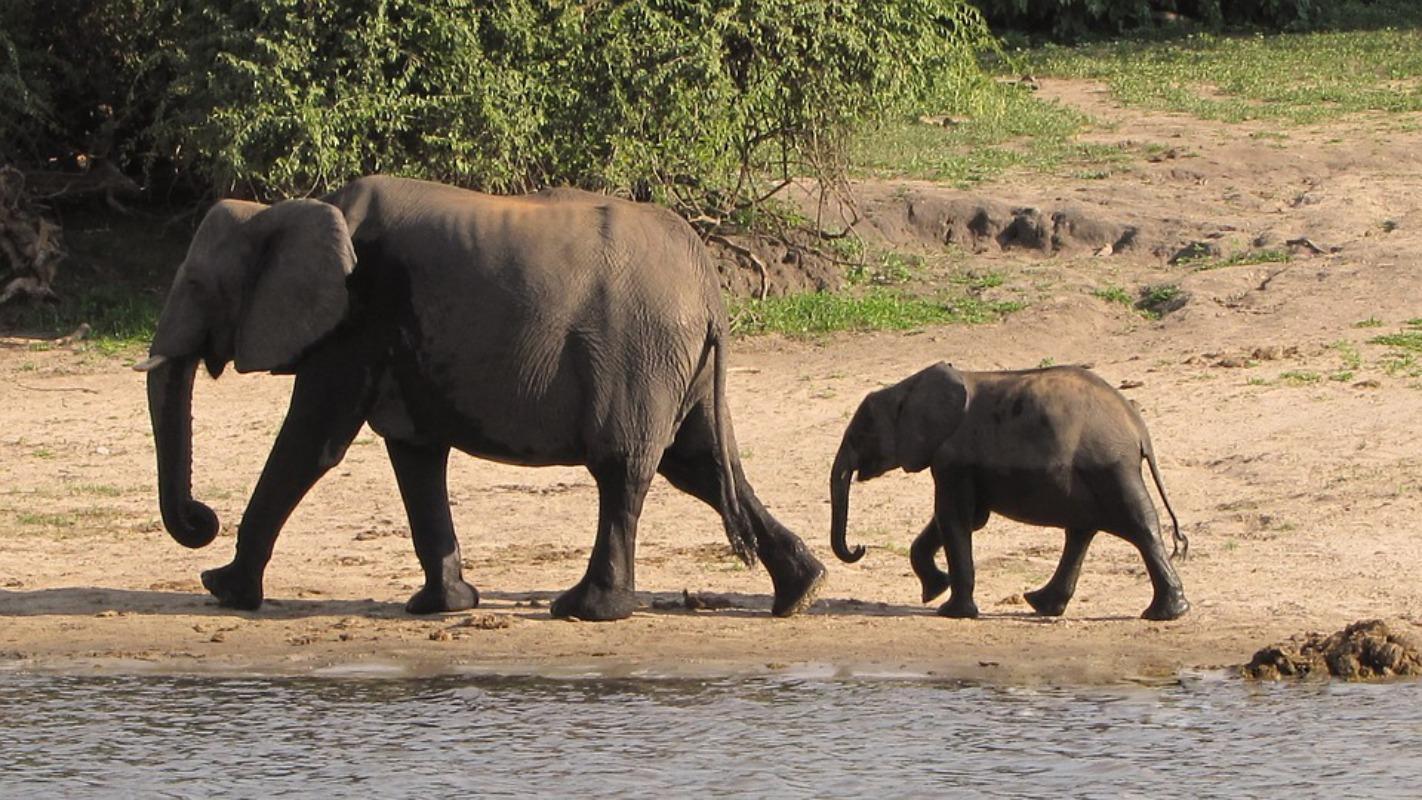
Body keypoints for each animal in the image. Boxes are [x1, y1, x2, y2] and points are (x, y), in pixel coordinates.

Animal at [134, 175, 826, 621]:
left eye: (195, 285)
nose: (201, 519)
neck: (283, 209)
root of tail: (710, 287)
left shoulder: (356, 319)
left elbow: (312, 442)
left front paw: (223, 591)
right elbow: (414, 455)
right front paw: (439, 607)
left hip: (640, 352)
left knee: (624, 469)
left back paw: (587, 611)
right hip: (678, 362)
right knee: (701, 464)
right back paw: (801, 593)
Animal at [829, 362, 1189, 621]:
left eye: (860, 434)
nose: (860, 547)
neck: (905, 388)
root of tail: (1139, 429)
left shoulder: (953, 459)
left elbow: (953, 518)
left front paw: (951, 612)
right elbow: (966, 519)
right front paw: (934, 591)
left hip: (1109, 467)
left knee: (1139, 526)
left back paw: (1164, 614)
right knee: (1082, 531)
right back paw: (1042, 605)